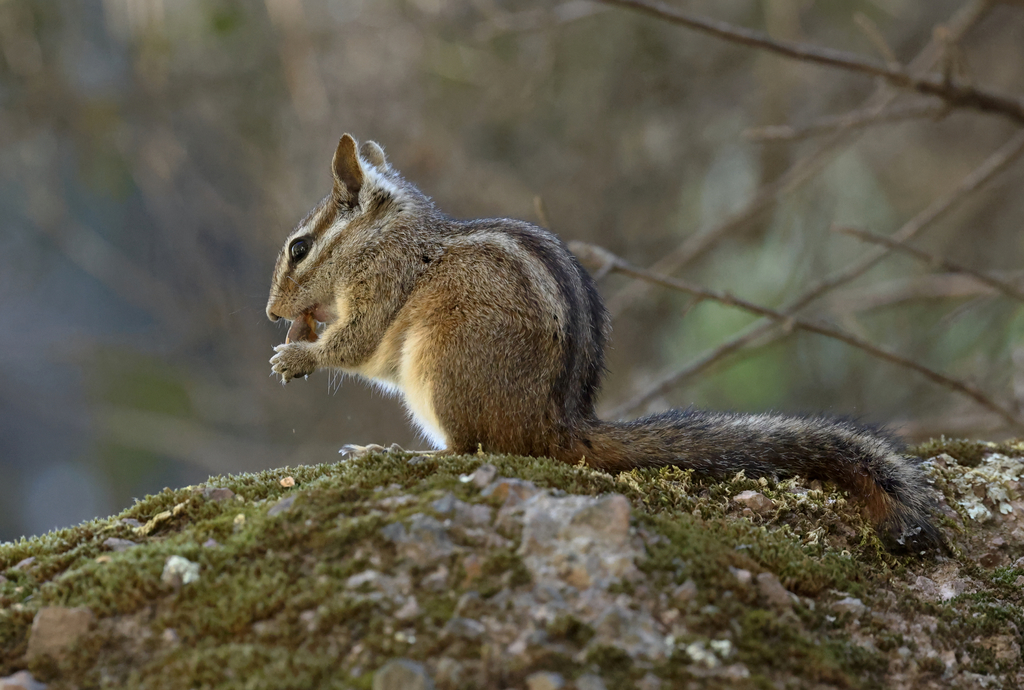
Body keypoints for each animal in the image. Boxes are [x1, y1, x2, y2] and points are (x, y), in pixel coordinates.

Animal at [266, 134, 939, 548]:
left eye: (299, 247)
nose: (274, 313)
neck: (387, 233)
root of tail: (557, 426)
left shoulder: (383, 285)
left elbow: (356, 345)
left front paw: (297, 354)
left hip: (444, 368)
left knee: (472, 451)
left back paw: (396, 454)